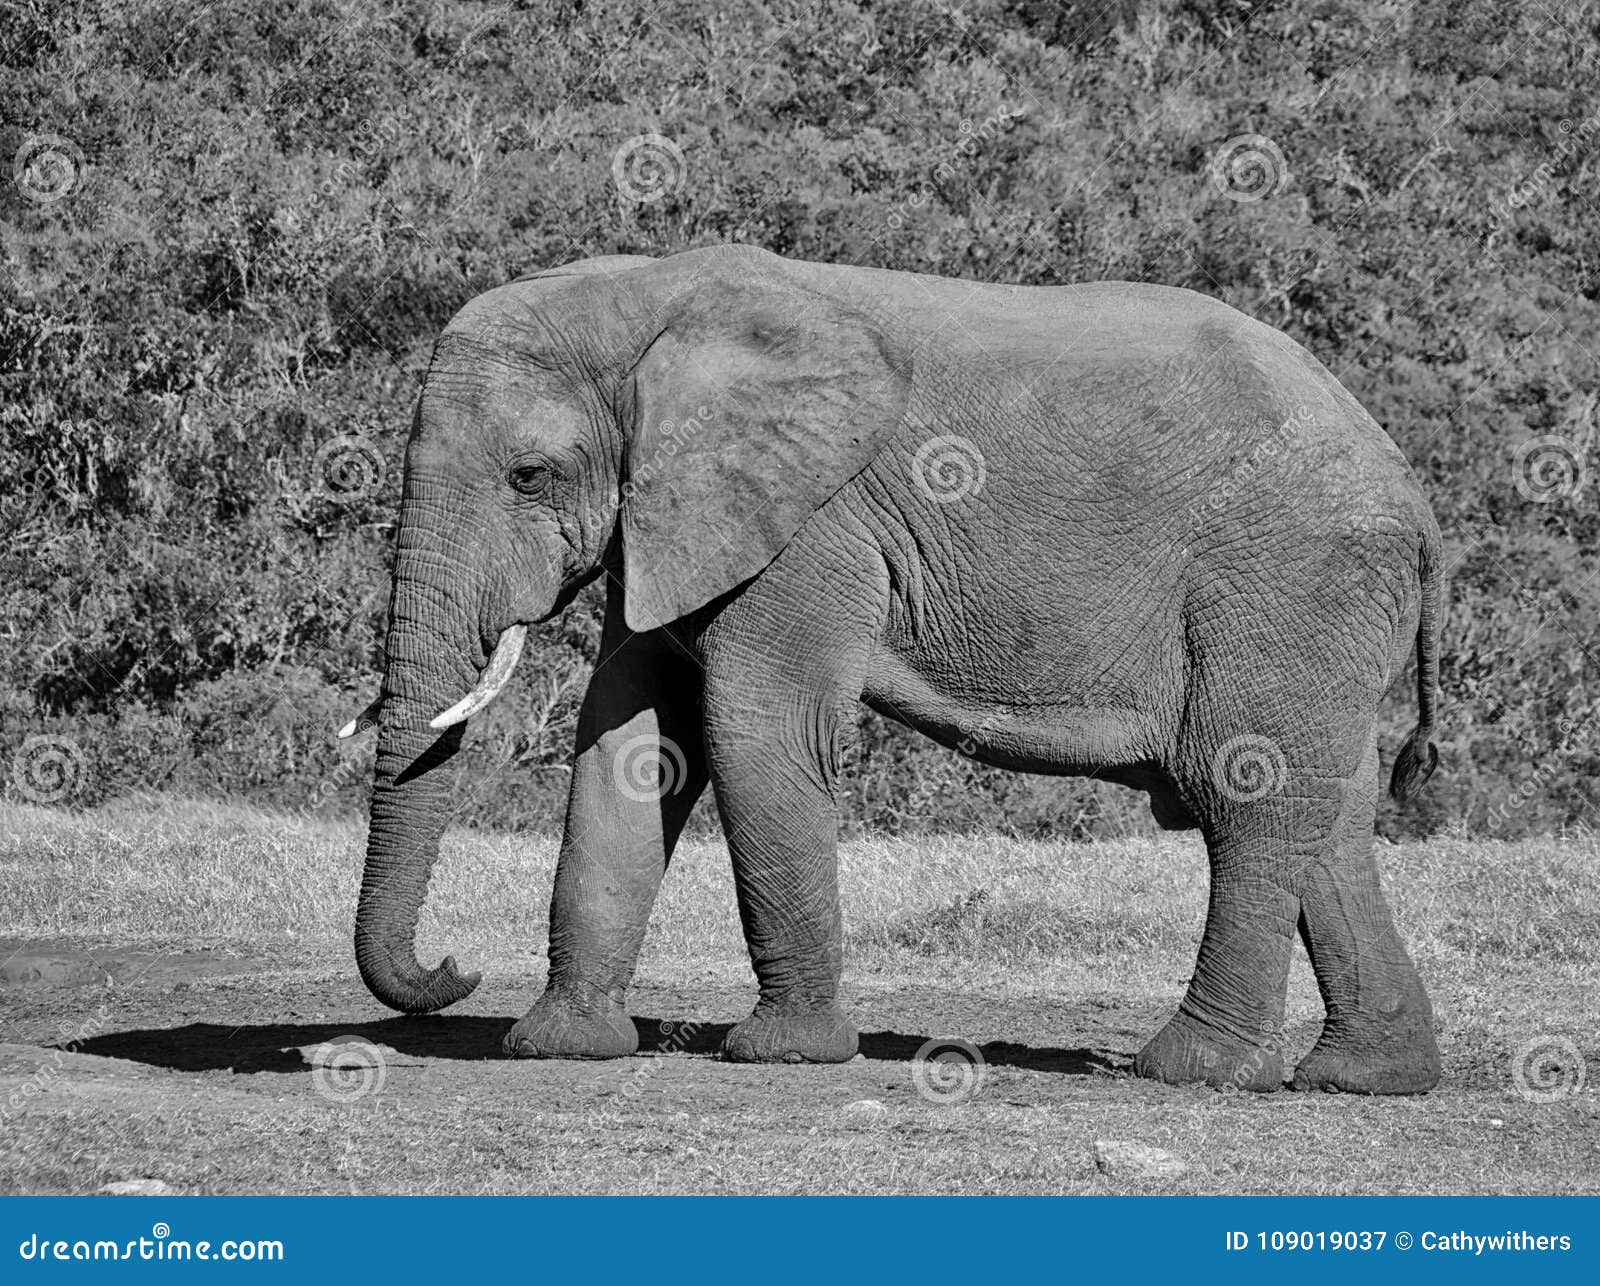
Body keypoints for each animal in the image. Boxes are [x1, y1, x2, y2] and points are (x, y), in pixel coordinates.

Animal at [341, 244, 1443, 1095]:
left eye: (530, 475)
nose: (452, 965)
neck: (645, 295)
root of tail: (1413, 491)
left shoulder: (812, 526)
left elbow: (756, 729)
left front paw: (785, 1055)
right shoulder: (678, 519)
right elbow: (632, 737)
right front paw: (559, 1047)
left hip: (1287, 578)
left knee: (1245, 789)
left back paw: (1188, 1070)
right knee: (1329, 817)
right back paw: (1365, 1077)